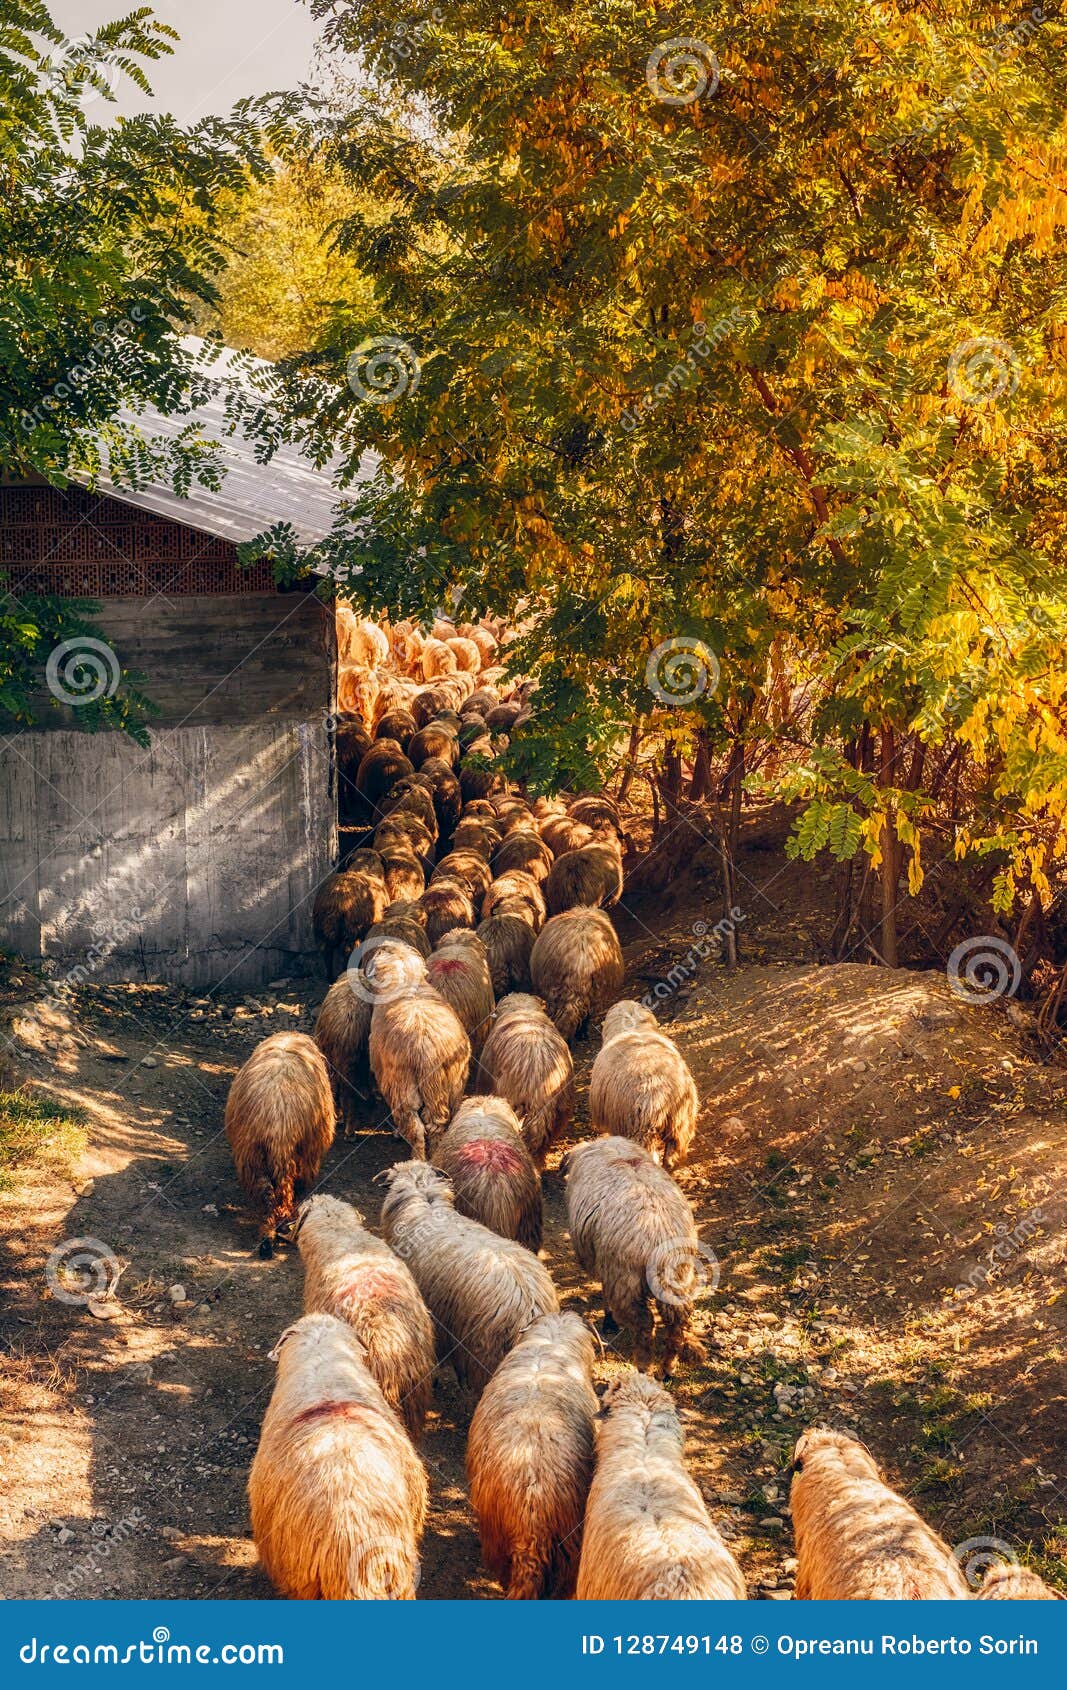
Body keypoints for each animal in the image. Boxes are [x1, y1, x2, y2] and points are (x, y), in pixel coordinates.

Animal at [224, 1033, 335, 1257]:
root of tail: (278, 1126)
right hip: (300, 1151)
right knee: (288, 1189)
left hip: (252, 1154)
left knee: (267, 1193)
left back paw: (268, 1236)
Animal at [312, 853, 388, 981]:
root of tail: (338, 900)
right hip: (352, 931)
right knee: (348, 953)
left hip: (321, 929)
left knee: (326, 952)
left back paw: (330, 977)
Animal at [369, 966, 470, 1159]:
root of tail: (425, 1045)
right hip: (451, 1082)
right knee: (438, 1122)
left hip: (403, 1086)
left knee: (415, 1128)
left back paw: (418, 1157)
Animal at [562, 1136, 705, 1375]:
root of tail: (658, 1240)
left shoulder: (605, 1265)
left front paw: (608, 1320)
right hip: (679, 1275)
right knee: (678, 1319)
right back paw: (668, 1367)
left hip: (625, 1280)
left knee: (645, 1323)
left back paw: (644, 1365)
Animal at [589, 1001, 699, 1170]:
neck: (634, 1027)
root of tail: (657, 1094)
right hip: (680, 1120)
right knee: (673, 1145)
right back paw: (670, 1164)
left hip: (640, 1130)